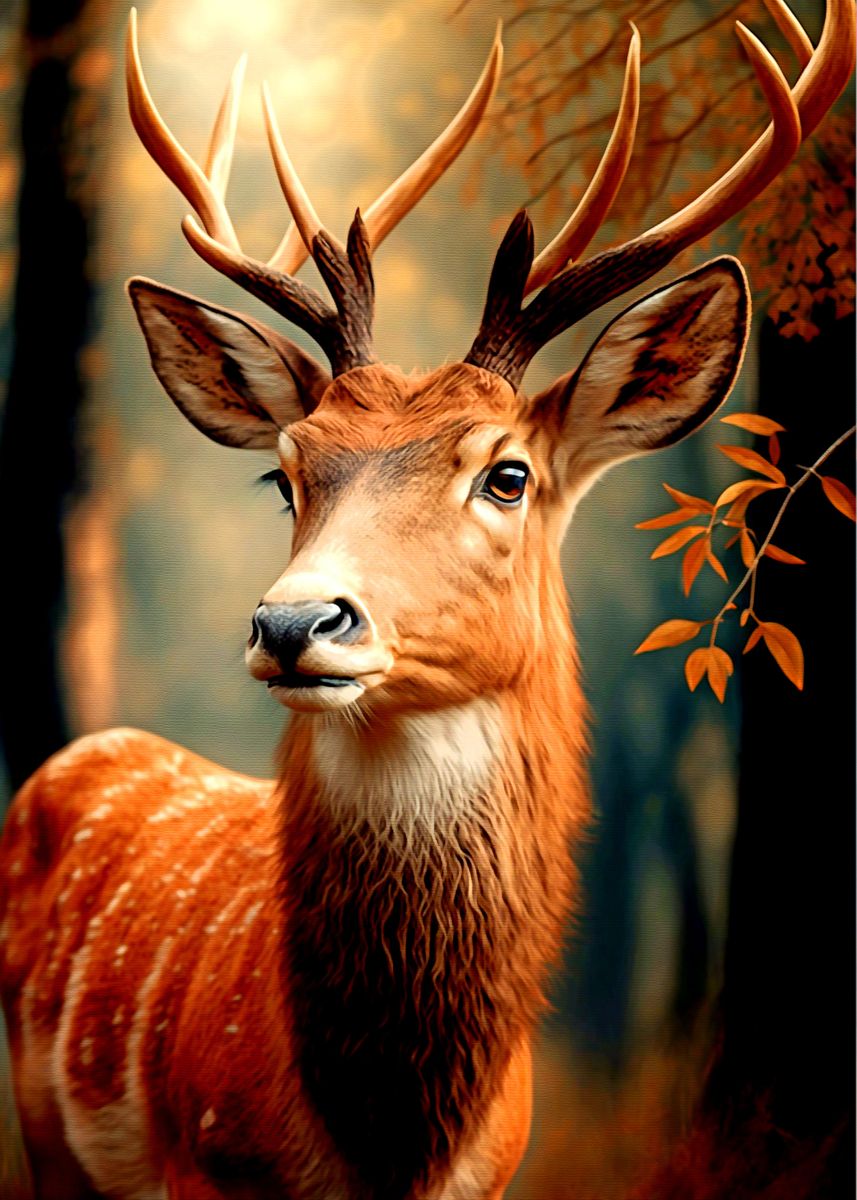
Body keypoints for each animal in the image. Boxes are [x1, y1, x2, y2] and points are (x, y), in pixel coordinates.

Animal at [1, 1, 853, 1197]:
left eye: (509, 474)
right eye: (286, 473)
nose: (294, 622)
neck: (386, 1134)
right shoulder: (197, 1161)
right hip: (46, 1135)